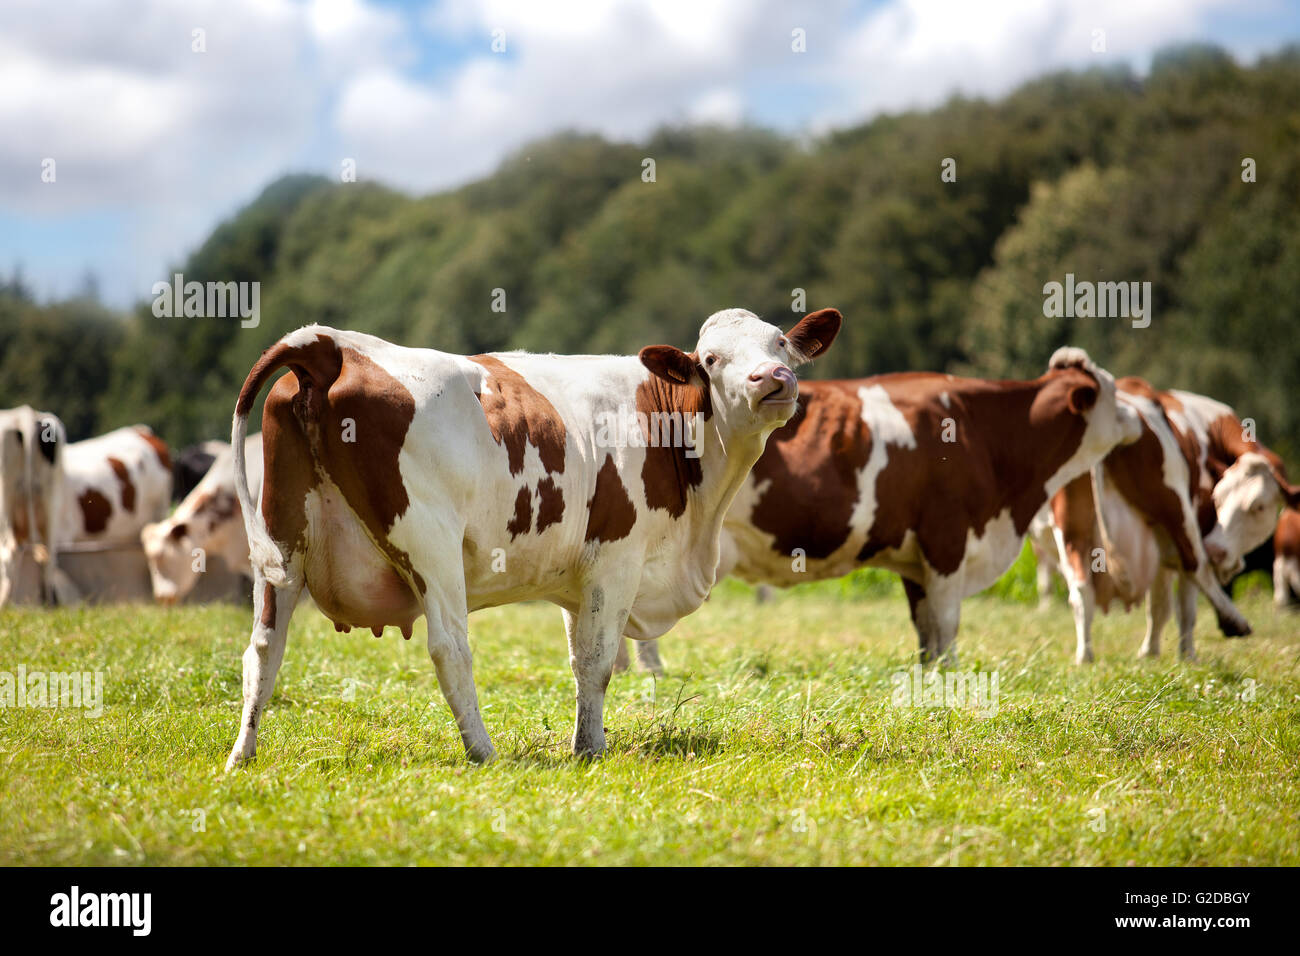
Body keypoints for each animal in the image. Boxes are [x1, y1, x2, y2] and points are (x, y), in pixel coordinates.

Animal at [0, 406, 75, 606]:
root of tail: (25, 414)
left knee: (8, 553)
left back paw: (5, 603)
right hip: (50, 498)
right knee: (49, 553)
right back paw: (48, 604)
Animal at [223, 308, 842, 770]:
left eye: (781, 345)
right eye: (712, 360)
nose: (772, 379)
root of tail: (331, 344)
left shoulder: (579, 578)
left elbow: (580, 660)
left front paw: (586, 741)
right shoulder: (617, 561)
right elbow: (597, 661)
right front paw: (589, 750)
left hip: (282, 547)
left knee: (264, 651)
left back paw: (242, 756)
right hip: (430, 545)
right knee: (450, 649)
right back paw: (483, 751)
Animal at [621, 348, 1144, 669]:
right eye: (1112, 391)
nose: (1139, 416)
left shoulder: (917, 558)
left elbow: (926, 627)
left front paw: (931, 673)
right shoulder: (947, 539)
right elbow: (948, 622)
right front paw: (951, 675)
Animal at [1043, 380, 1295, 662]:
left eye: (1258, 507)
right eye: (1217, 499)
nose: (1216, 550)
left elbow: (1159, 604)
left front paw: (1150, 652)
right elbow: (1181, 603)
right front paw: (1184, 654)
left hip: (1071, 529)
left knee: (1081, 590)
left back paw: (1084, 655)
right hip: (1178, 513)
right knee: (1197, 568)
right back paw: (1233, 621)